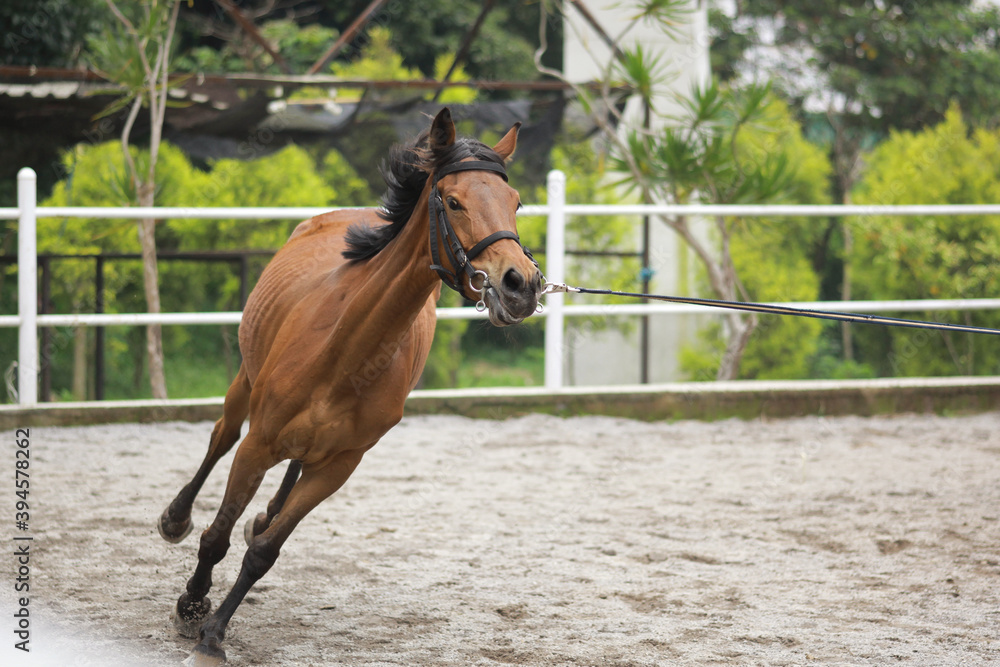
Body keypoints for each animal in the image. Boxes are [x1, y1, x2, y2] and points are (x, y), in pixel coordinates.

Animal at [156, 108, 543, 665]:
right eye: (453, 201)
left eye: (514, 202)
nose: (522, 285)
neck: (346, 348)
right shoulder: (258, 446)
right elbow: (218, 535)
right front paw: (191, 608)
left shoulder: (339, 467)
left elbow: (263, 553)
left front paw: (214, 631)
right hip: (245, 383)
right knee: (221, 437)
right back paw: (176, 517)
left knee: (282, 484)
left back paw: (263, 517)